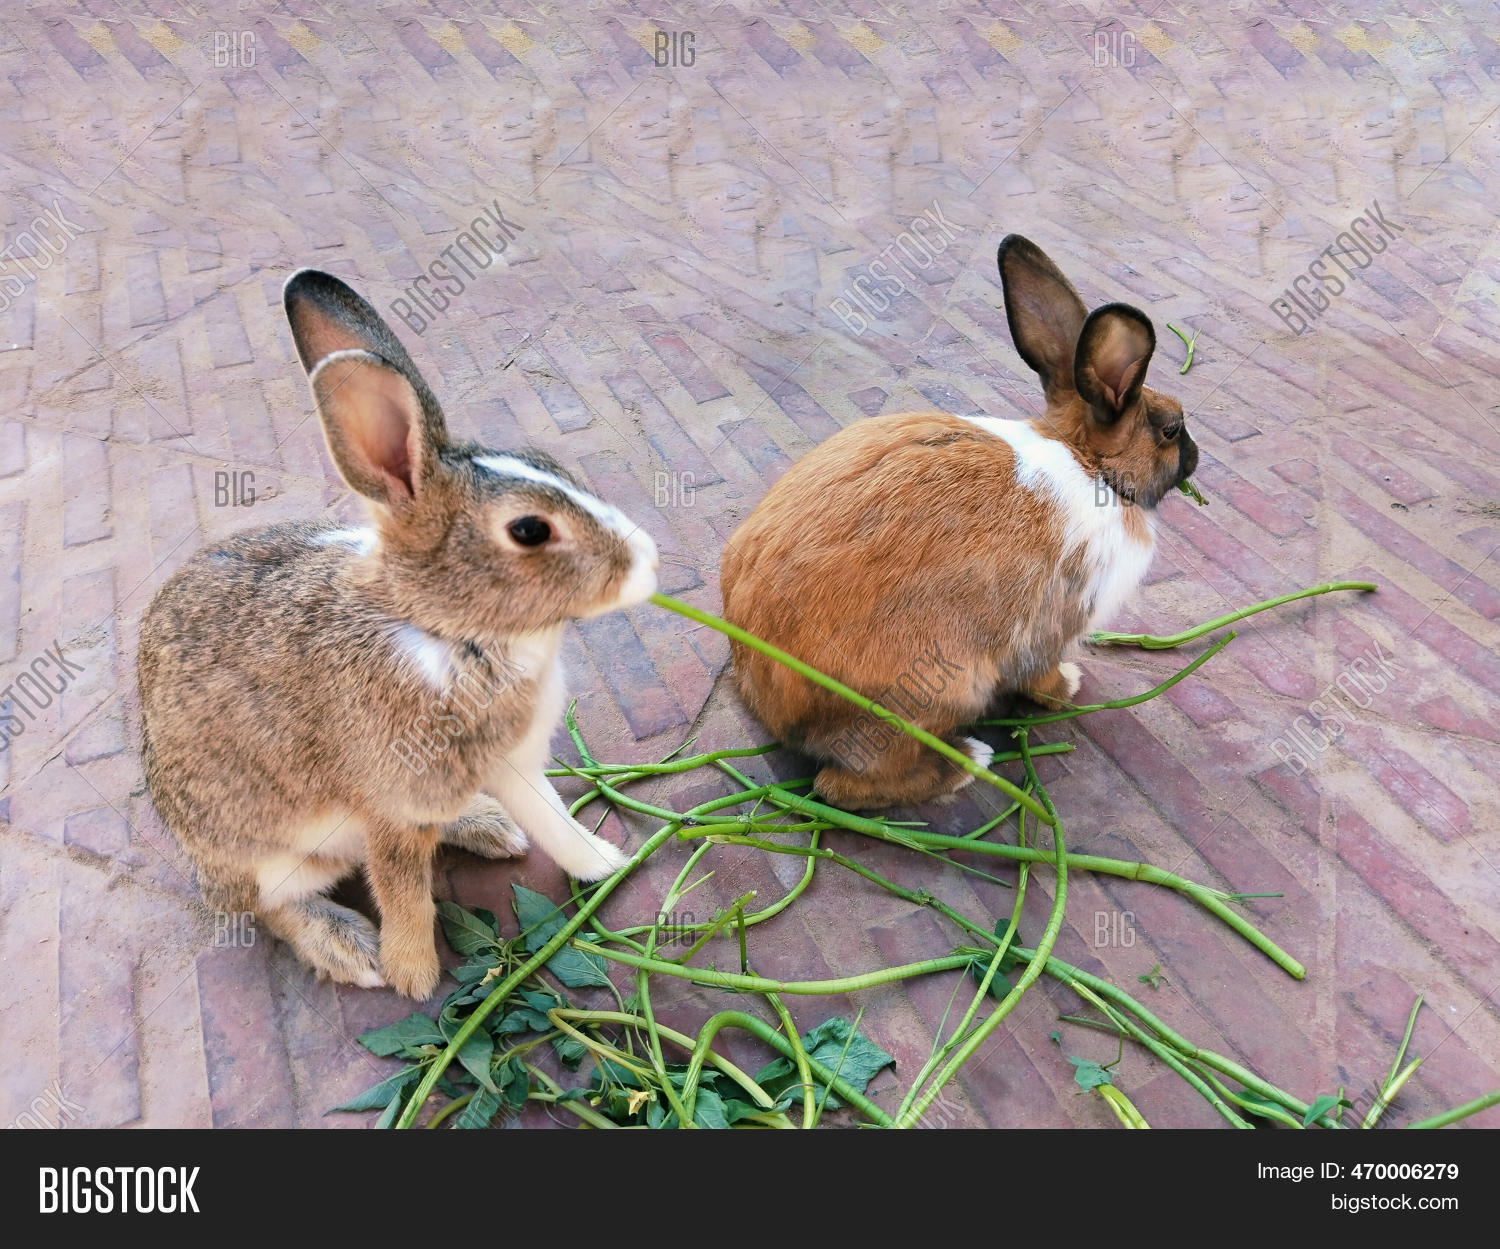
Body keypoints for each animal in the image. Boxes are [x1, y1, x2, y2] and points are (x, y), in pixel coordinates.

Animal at [138, 269, 659, 998]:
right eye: (529, 529)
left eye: (547, 459)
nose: (648, 560)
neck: (447, 633)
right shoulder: (388, 807)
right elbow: (403, 892)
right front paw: (411, 976)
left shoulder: (513, 768)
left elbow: (553, 822)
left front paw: (609, 863)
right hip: (270, 856)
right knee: (262, 906)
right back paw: (347, 948)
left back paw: (488, 827)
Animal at [720, 234, 1198, 811]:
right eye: (1171, 429)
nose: (1197, 458)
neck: (1092, 466)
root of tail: (771, 697)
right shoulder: (1051, 626)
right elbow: (1041, 675)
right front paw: (1069, 685)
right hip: (939, 691)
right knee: (842, 786)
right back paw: (968, 764)